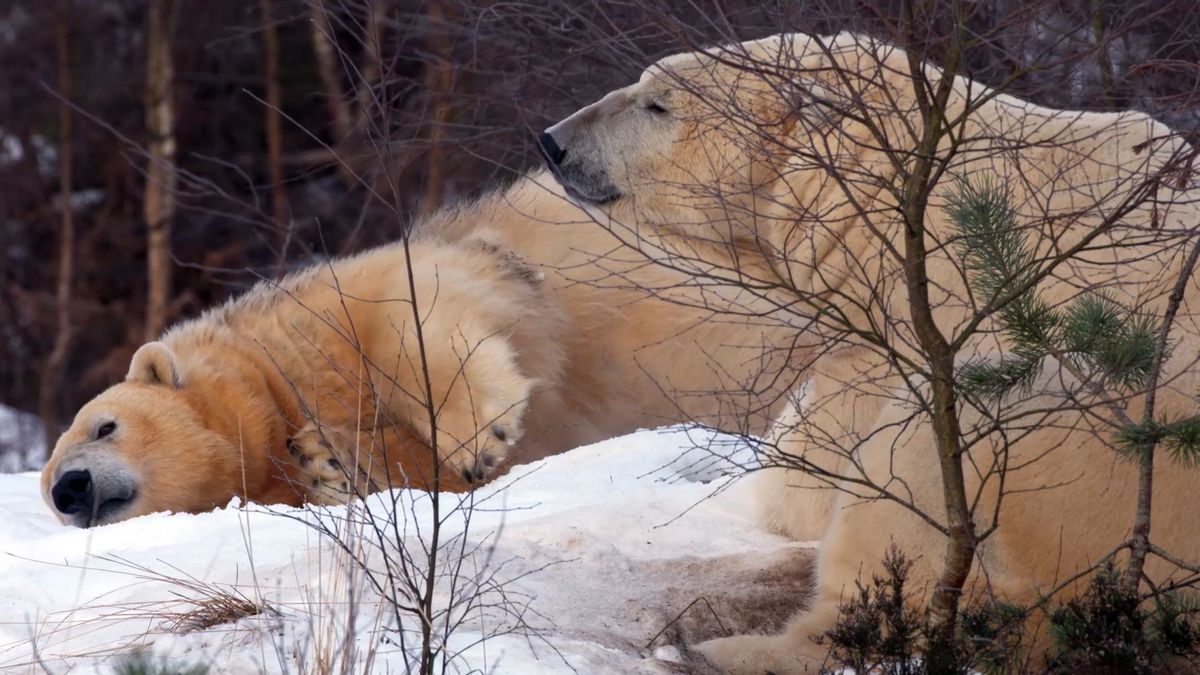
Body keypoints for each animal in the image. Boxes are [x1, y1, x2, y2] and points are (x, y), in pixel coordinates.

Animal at [42, 173, 803, 528]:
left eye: (105, 425)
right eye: (48, 482)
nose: (67, 487)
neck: (275, 384)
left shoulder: (340, 308)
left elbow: (413, 309)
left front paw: (476, 432)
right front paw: (329, 463)